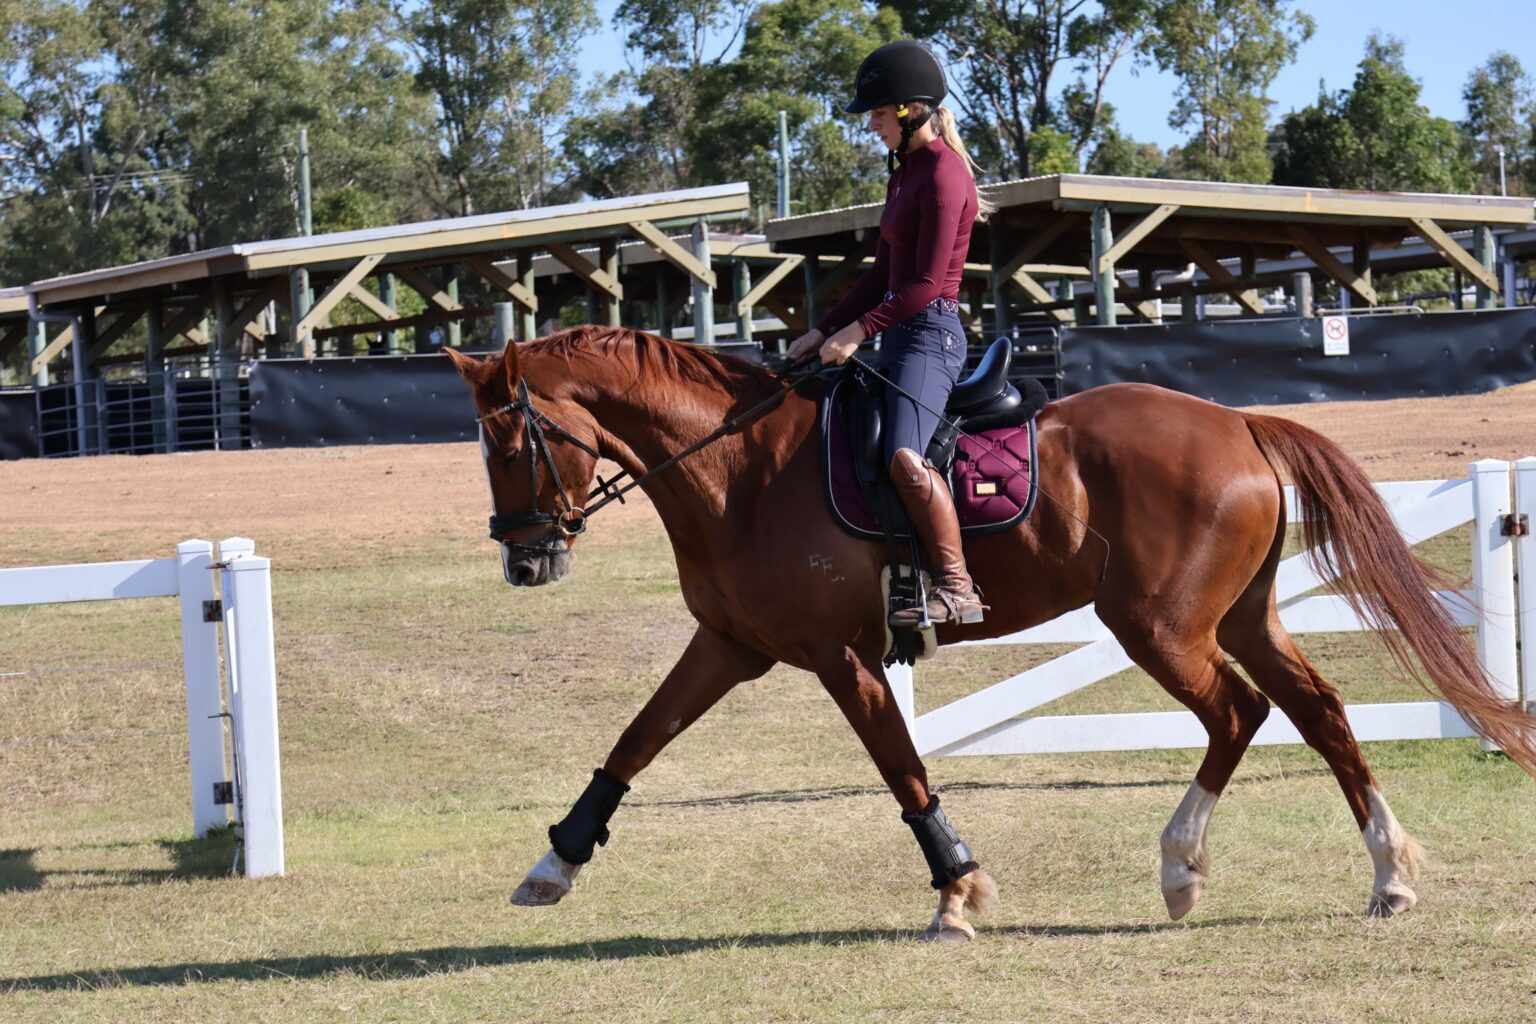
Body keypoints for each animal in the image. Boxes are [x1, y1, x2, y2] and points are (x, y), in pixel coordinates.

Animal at [444, 325, 1535, 942]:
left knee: (1240, 711)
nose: (523, 561)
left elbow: (903, 771)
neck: (741, 469)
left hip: (1160, 625)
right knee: (1319, 710)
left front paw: (958, 890)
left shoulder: (840, 657)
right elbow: (635, 741)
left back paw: (1181, 867)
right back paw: (1388, 876)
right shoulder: (728, 645)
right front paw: (554, 863)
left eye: (508, 441)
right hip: (1243, 615)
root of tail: (1237, 422)